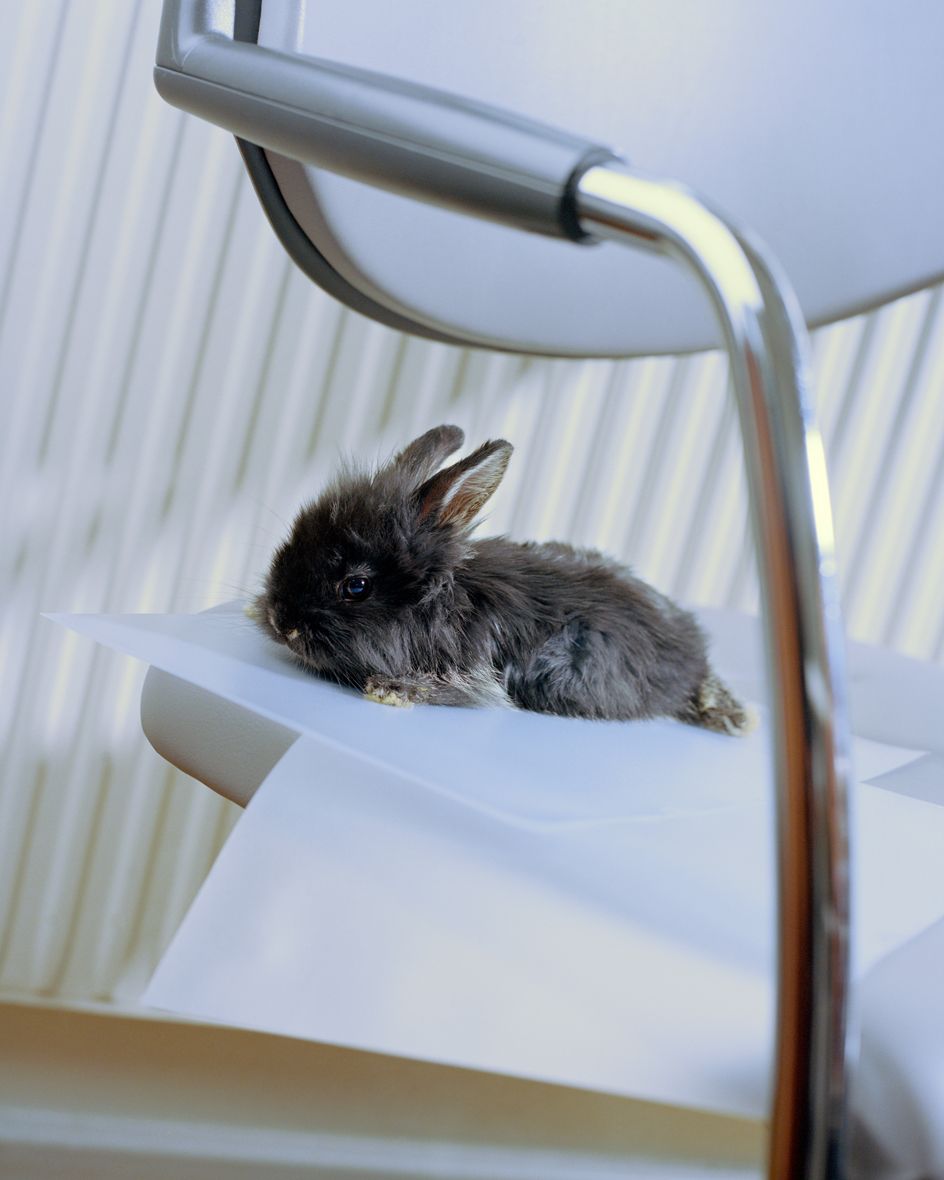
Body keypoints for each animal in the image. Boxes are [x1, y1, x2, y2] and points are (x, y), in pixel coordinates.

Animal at [254, 424, 753, 734]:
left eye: (355, 587)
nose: (281, 621)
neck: (443, 604)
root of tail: (691, 642)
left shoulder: (476, 670)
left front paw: (391, 691)